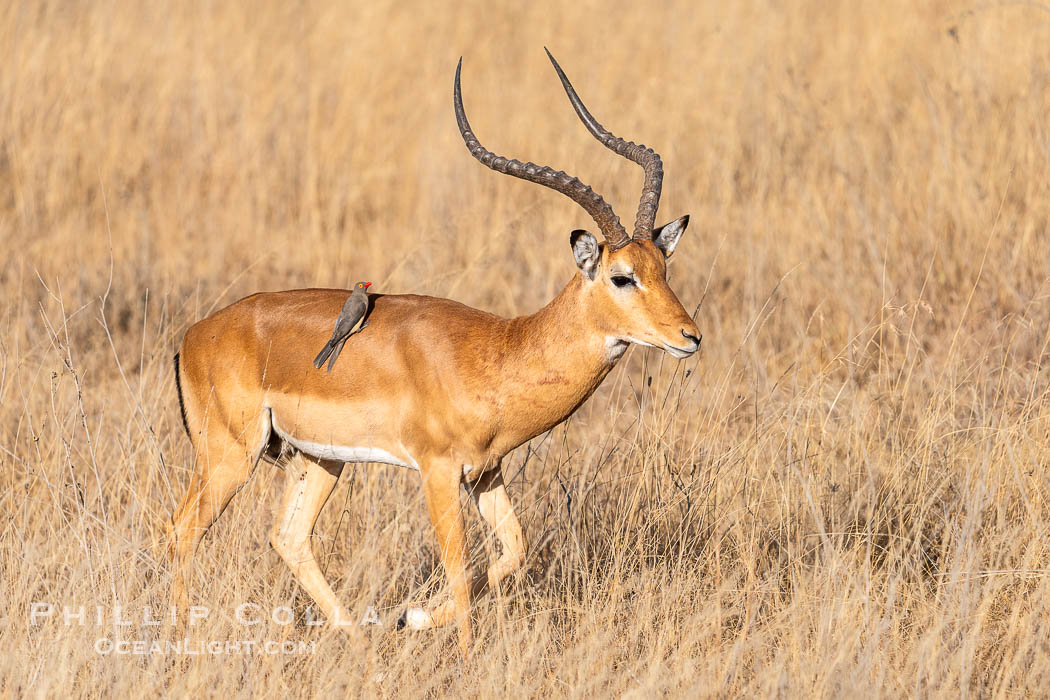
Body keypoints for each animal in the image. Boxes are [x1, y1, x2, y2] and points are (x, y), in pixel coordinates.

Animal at [167, 50, 701, 656]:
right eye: (621, 276)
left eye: (663, 268)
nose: (690, 336)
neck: (500, 352)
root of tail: (194, 335)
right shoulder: (439, 472)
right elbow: (458, 565)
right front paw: (464, 655)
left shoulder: (486, 473)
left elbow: (512, 550)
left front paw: (411, 616)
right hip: (230, 455)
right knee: (182, 530)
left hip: (319, 460)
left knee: (289, 537)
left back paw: (362, 642)